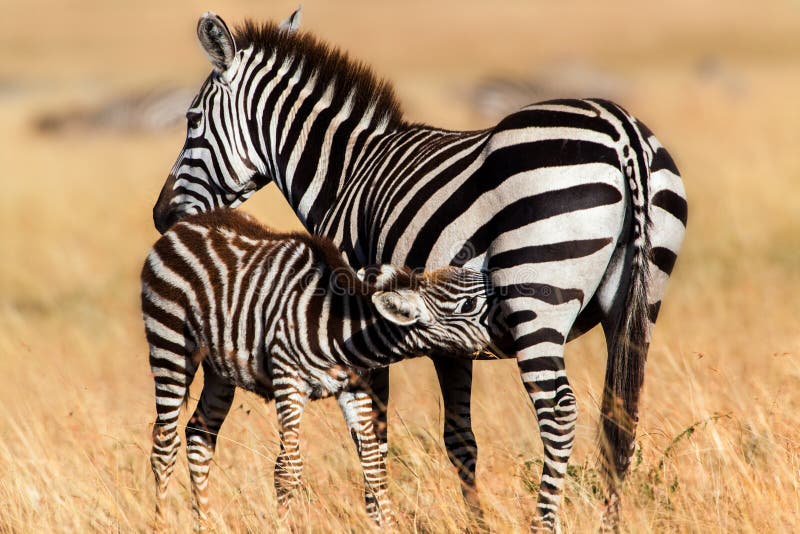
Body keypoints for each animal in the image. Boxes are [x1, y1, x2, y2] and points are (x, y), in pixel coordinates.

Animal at [142, 208, 493, 528]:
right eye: (468, 305)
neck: (340, 326)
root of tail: (187, 224)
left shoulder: (354, 387)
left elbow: (373, 463)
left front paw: (389, 526)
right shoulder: (288, 380)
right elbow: (288, 468)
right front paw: (283, 526)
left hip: (220, 370)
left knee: (199, 436)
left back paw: (205, 525)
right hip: (170, 344)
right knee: (164, 445)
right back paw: (160, 523)